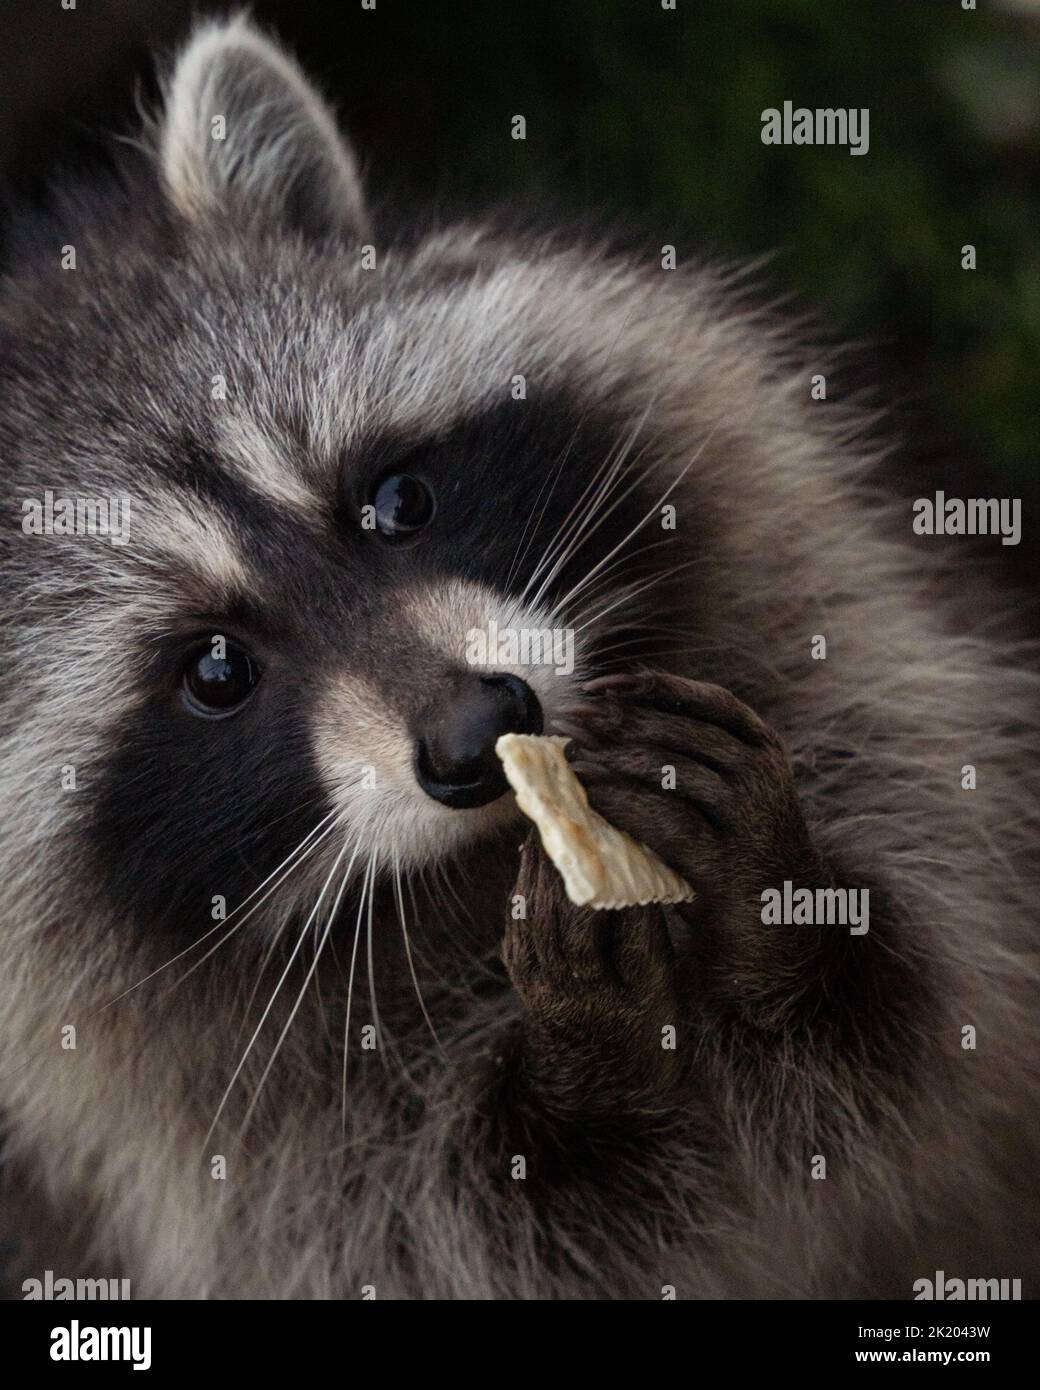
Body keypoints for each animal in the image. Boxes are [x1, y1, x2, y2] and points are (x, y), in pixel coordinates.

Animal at [0, 16, 1037, 1300]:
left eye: (395, 499)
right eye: (214, 671)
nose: (476, 730)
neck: (474, 863)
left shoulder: (848, 634)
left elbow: (945, 994)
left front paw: (774, 904)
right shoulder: (174, 1138)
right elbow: (424, 1233)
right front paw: (577, 1073)